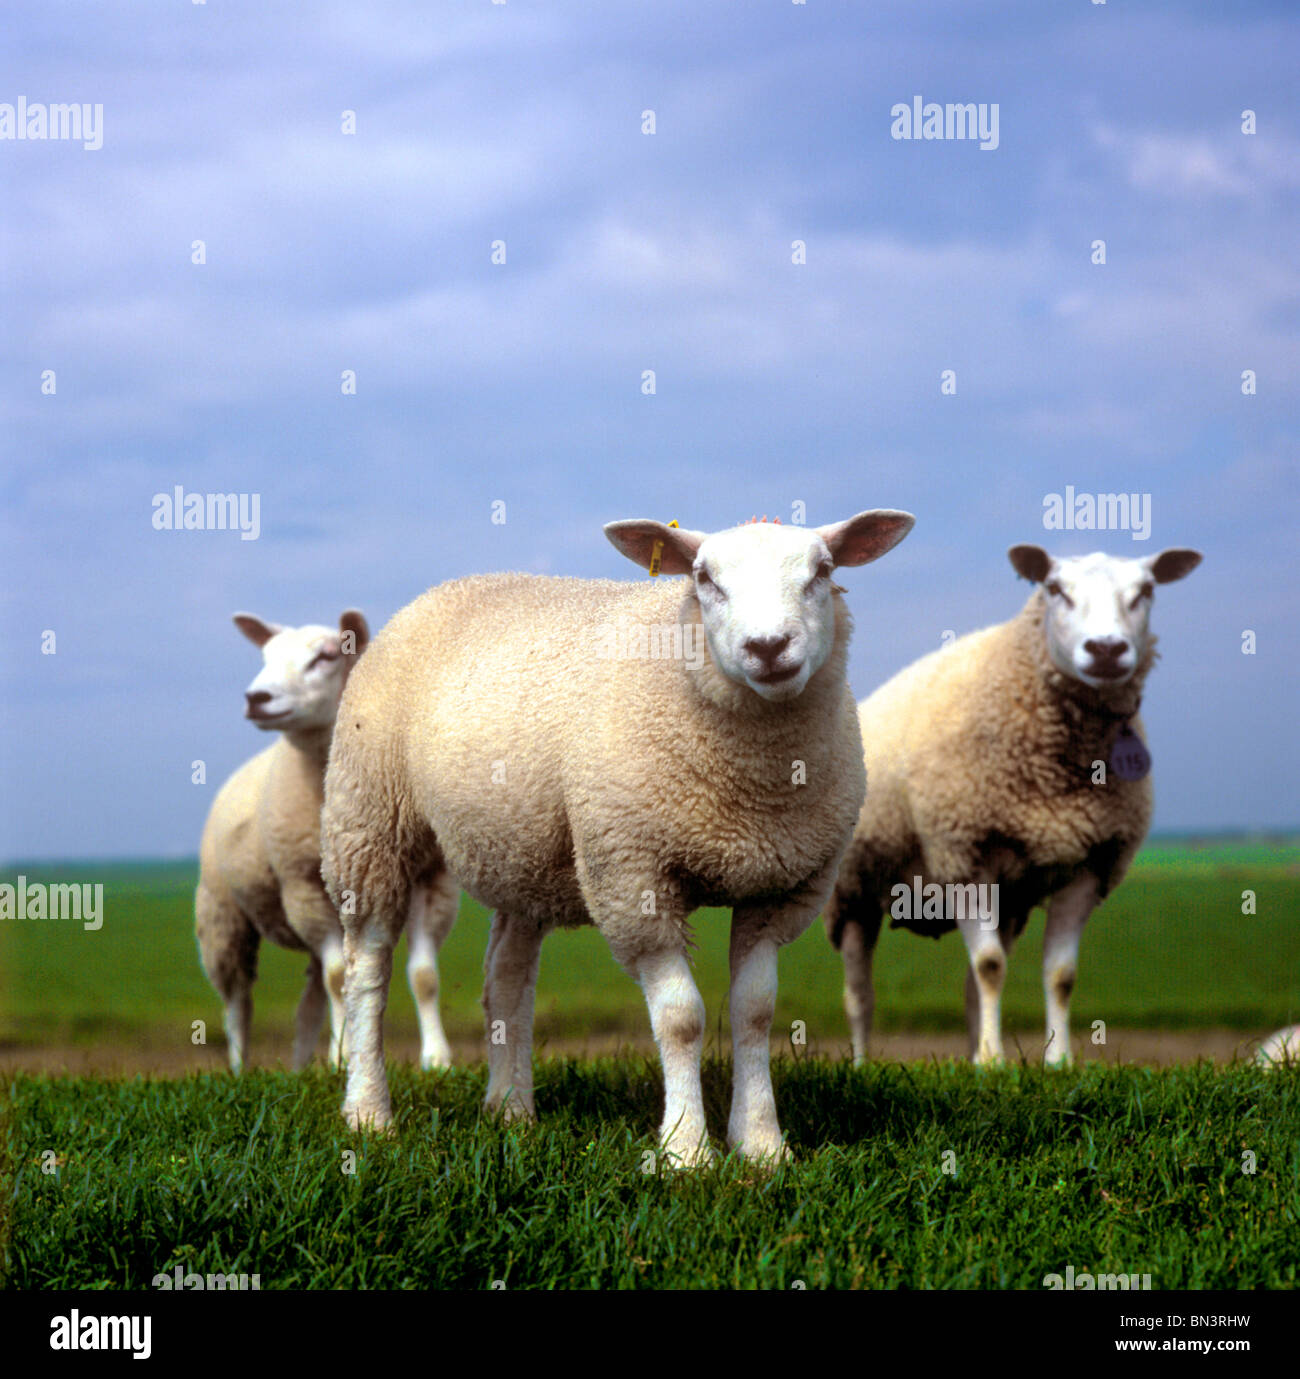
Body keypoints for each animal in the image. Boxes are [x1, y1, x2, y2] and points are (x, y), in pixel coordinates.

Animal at [195, 611, 458, 1073]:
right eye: (265, 657)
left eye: (326, 656)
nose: (257, 698)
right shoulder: (303, 887)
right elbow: (339, 979)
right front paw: (342, 1058)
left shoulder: (432, 879)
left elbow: (424, 975)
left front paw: (437, 1059)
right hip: (222, 914)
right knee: (237, 1002)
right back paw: (242, 1068)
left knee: (308, 1002)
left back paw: (301, 1067)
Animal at [320, 510, 914, 1163]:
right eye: (705, 578)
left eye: (822, 571)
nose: (768, 647)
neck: (749, 795)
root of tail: (452, 586)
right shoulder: (632, 873)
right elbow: (681, 1017)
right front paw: (686, 1151)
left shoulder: (782, 886)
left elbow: (754, 1011)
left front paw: (761, 1145)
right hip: (367, 820)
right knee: (367, 972)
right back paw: (368, 1112)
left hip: (524, 851)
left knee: (506, 978)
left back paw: (511, 1110)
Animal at [825, 544, 1202, 1068]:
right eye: (1055, 589)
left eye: (1145, 590)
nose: (1106, 650)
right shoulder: (964, 855)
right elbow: (990, 966)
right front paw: (992, 1060)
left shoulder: (1088, 866)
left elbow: (1059, 975)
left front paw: (1054, 1062)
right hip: (854, 892)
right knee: (859, 994)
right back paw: (862, 1063)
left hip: (1006, 900)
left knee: (967, 985)